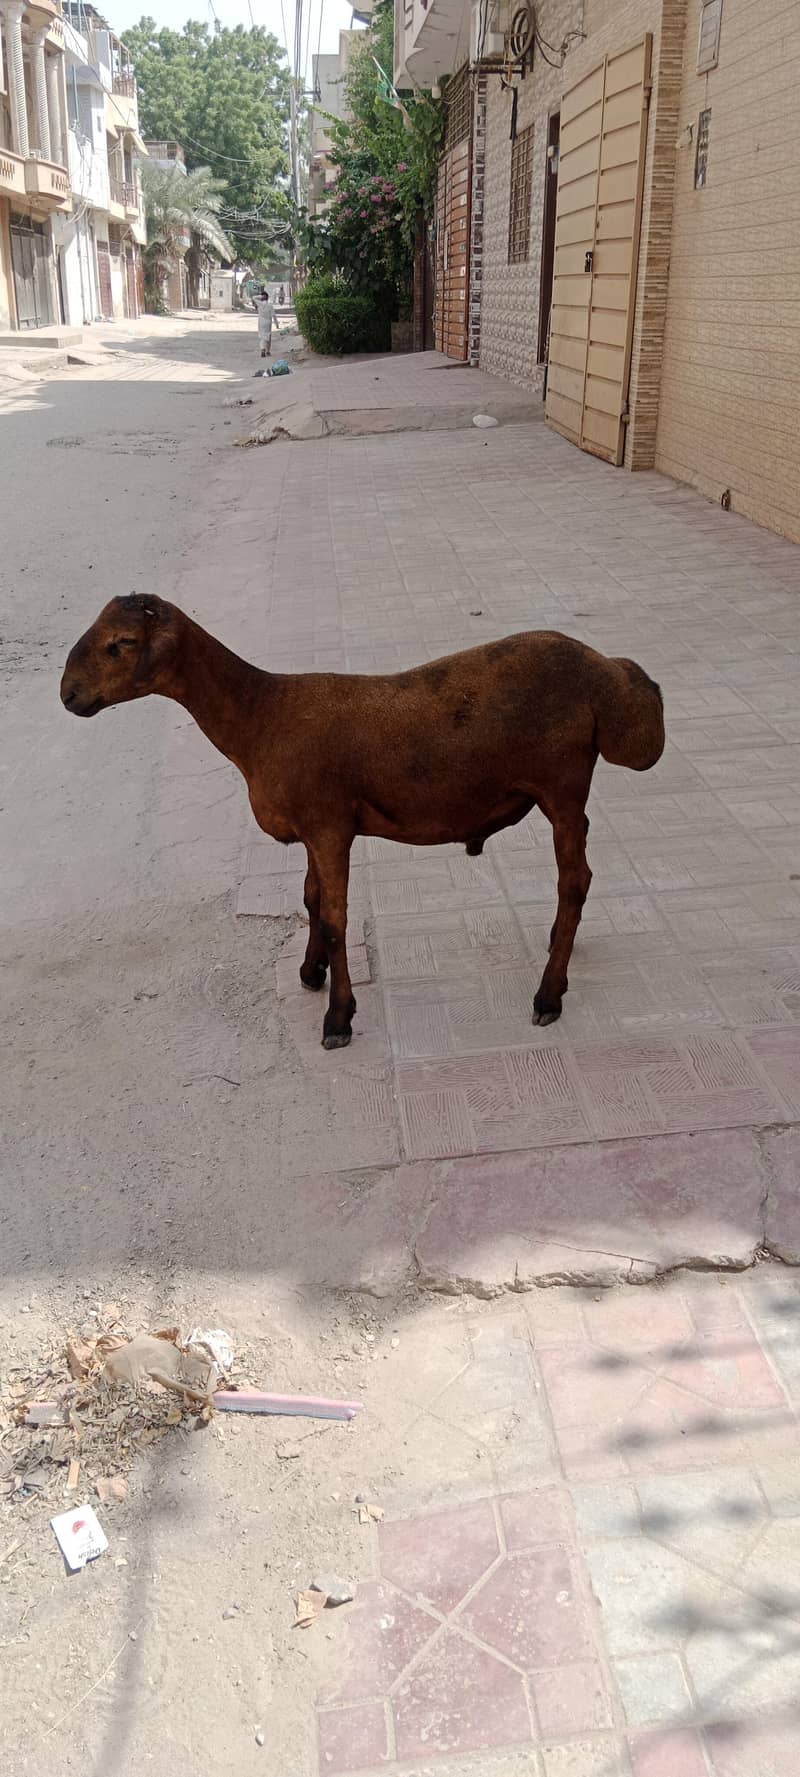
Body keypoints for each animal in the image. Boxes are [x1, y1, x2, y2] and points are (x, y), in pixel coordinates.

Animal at [60, 595, 665, 1048]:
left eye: (122, 642)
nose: (68, 695)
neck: (259, 716)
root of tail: (609, 675)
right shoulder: (314, 828)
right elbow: (309, 901)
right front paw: (311, 974)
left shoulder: (330, 827)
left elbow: (334, 921)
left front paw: (338, 1018)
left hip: (562, 784)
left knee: (575, 881)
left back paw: (548, 995)